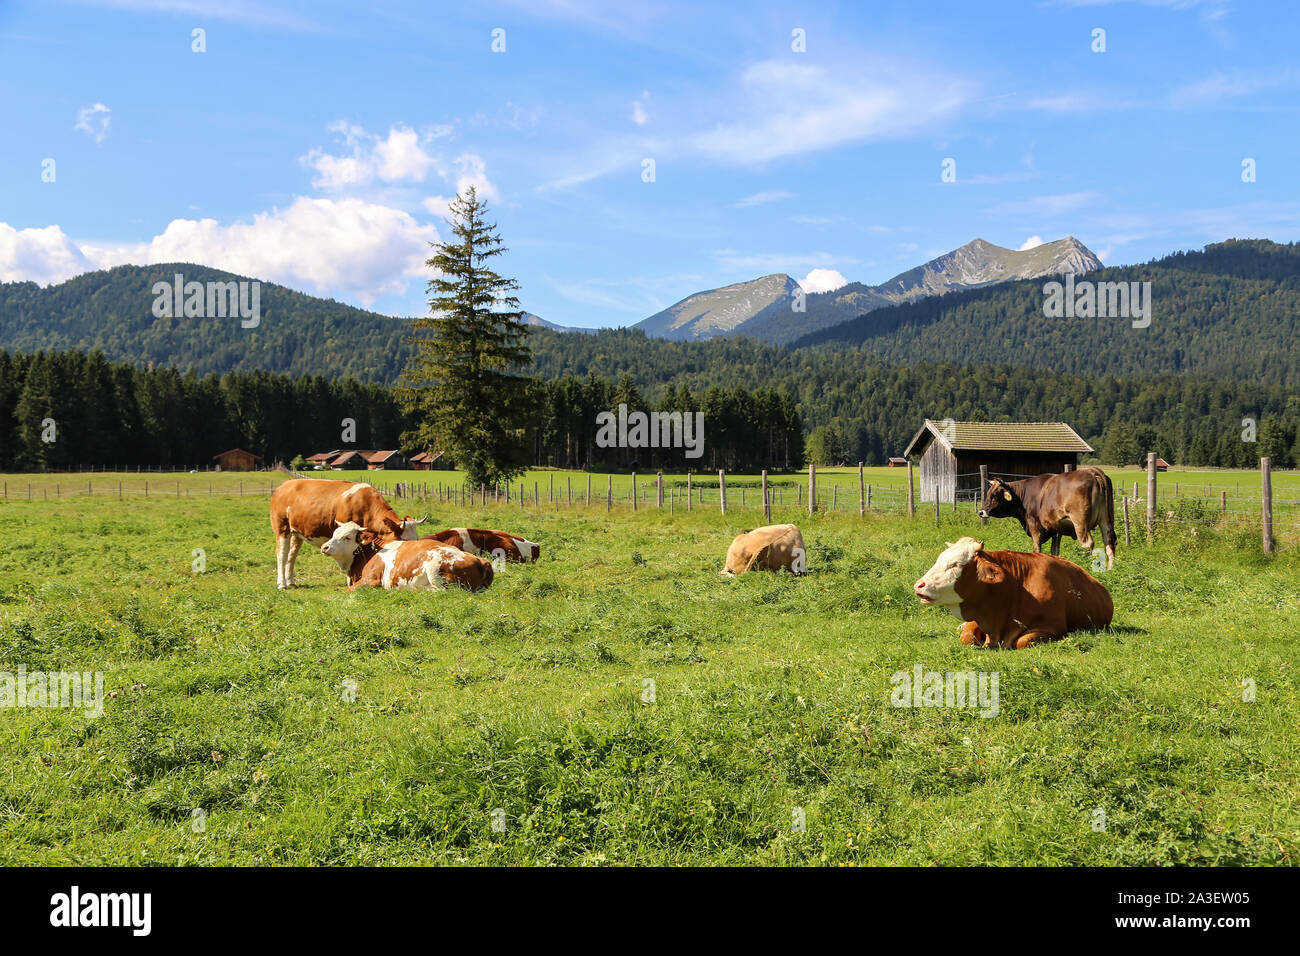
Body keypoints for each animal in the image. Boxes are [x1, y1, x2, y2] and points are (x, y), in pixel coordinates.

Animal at [269, 478, 426, 589]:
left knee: (292, 556)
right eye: (404, 540)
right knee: (282, 555)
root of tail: (284, 485)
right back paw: (282, 584)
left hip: (297, 533)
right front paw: (349, 581)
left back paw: (291, 582)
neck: (364, 505)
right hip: (282, 528)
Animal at [320, 522, 494, 592]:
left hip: (436, 570)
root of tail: (479, 560)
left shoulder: (371, 580)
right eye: (334, 533)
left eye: (347, 537)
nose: (324, 547)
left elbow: (346, 592)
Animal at [913, 537, 1113, 649]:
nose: (918, 585)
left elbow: (1021, 641)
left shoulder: (1052, 627)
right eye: (939, 560)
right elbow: (967, 637)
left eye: (955, 564)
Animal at [978, 467, 1117, 570]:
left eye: (995, 495)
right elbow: (1054, 550)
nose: (981, 512)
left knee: (1087, 544)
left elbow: (1037, 548)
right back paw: (1110, 569)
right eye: (988, 493)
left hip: (1080, 523)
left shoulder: (1034, 524)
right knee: (1110, 542)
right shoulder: (1056, 528)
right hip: (1106, 520)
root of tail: (1092, 471)